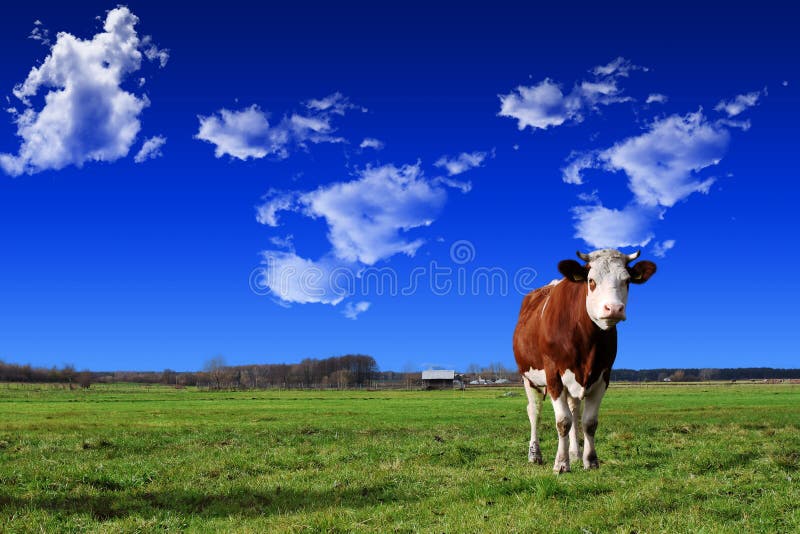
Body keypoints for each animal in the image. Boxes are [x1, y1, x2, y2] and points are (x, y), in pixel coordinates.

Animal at [512, 248, 656, 473]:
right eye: (591, 281)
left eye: (627, 281)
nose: (613, 308)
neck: (587, 341)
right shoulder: (553, 374)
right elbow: (562, 422)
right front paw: (561, 464)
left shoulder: (603, 374)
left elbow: (588, 422)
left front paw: (590, 460)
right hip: (529, 377)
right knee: (535, 412)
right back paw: (535, 455)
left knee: (574, 411)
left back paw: (575, 453)